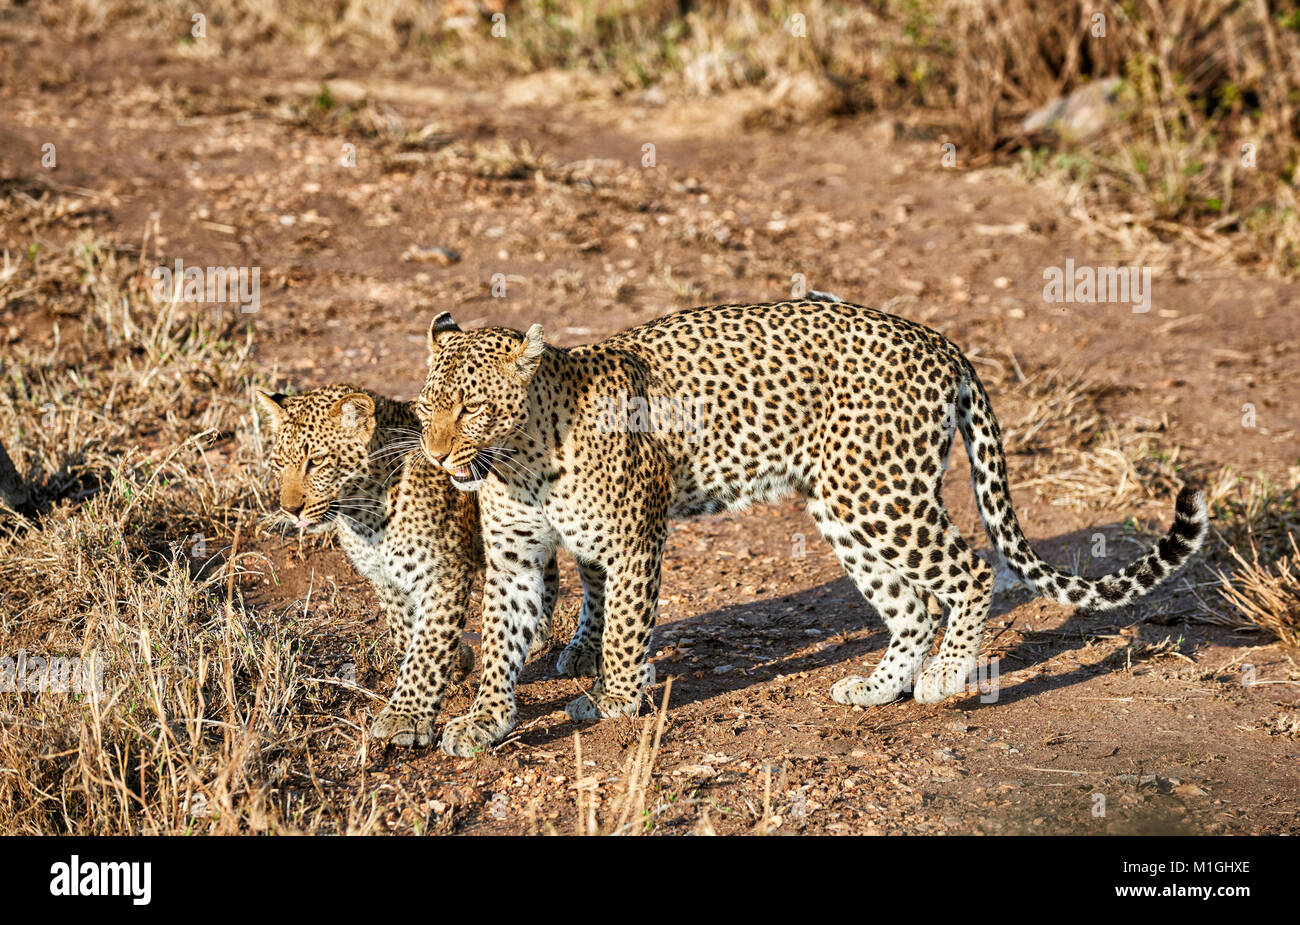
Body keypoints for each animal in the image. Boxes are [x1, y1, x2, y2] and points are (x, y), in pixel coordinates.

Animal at [255, 384, 564, 747]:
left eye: (316, 462)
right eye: (279, 463)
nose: (290, 510)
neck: (364, 515)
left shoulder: (445, 575)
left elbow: (427, 646)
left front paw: (406, 717)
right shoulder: (386, 579)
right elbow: (405, 633)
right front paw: (457, 662)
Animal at [414, 300, 1208, 758]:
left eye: (473, 408)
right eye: (427, 407)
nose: (435, 453)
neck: (523, 458)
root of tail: (941, 341)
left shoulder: (634, 542)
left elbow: (624, 632)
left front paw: (613, 700)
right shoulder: (516, 561)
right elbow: (501, 644)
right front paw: (480, 721)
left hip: (879, 493)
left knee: (972, 569)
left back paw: (946, 675)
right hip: (846, 505)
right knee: (913, 605)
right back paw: (878, 688)